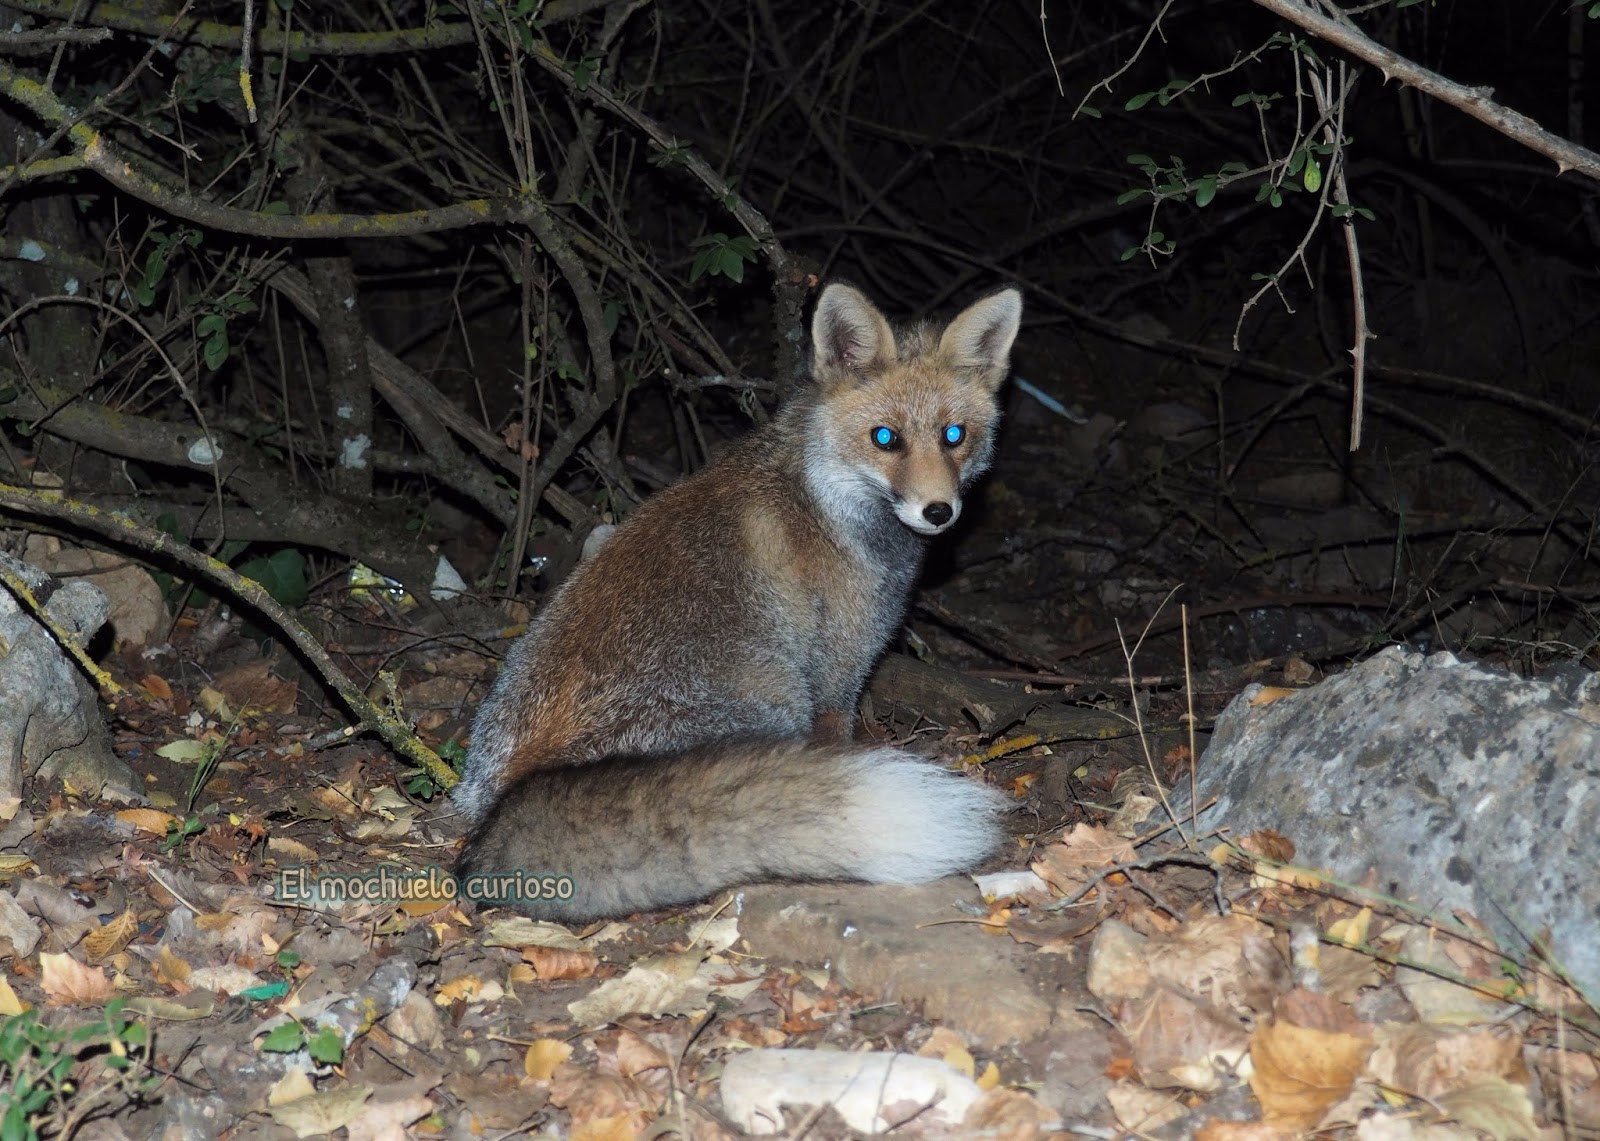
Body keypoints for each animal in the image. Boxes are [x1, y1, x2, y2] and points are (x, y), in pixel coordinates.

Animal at [455, 282, 1023, 921]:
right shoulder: (838, 669)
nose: (939, 512)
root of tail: (508, 795)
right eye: (886, 438)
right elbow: (840, 740)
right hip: (776, 703)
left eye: (954, 435)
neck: (827, 502)